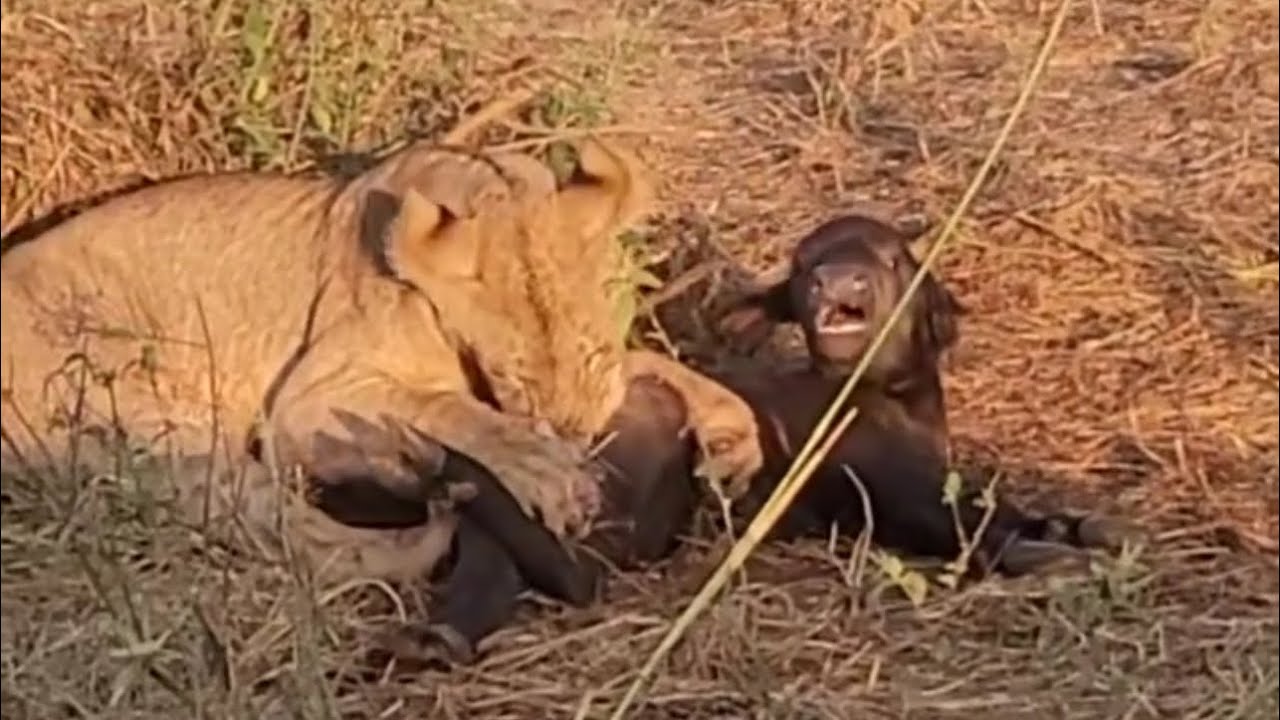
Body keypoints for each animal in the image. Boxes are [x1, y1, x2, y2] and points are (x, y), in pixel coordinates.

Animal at [0, 136, 763, 585]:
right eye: (515, 379)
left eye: (595, 356)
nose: (581, 436)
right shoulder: (301, 405)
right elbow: (447, 405)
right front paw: (546, 471)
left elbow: (656, 367)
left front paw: (733, 440)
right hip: (148, 425)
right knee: (299, 532)